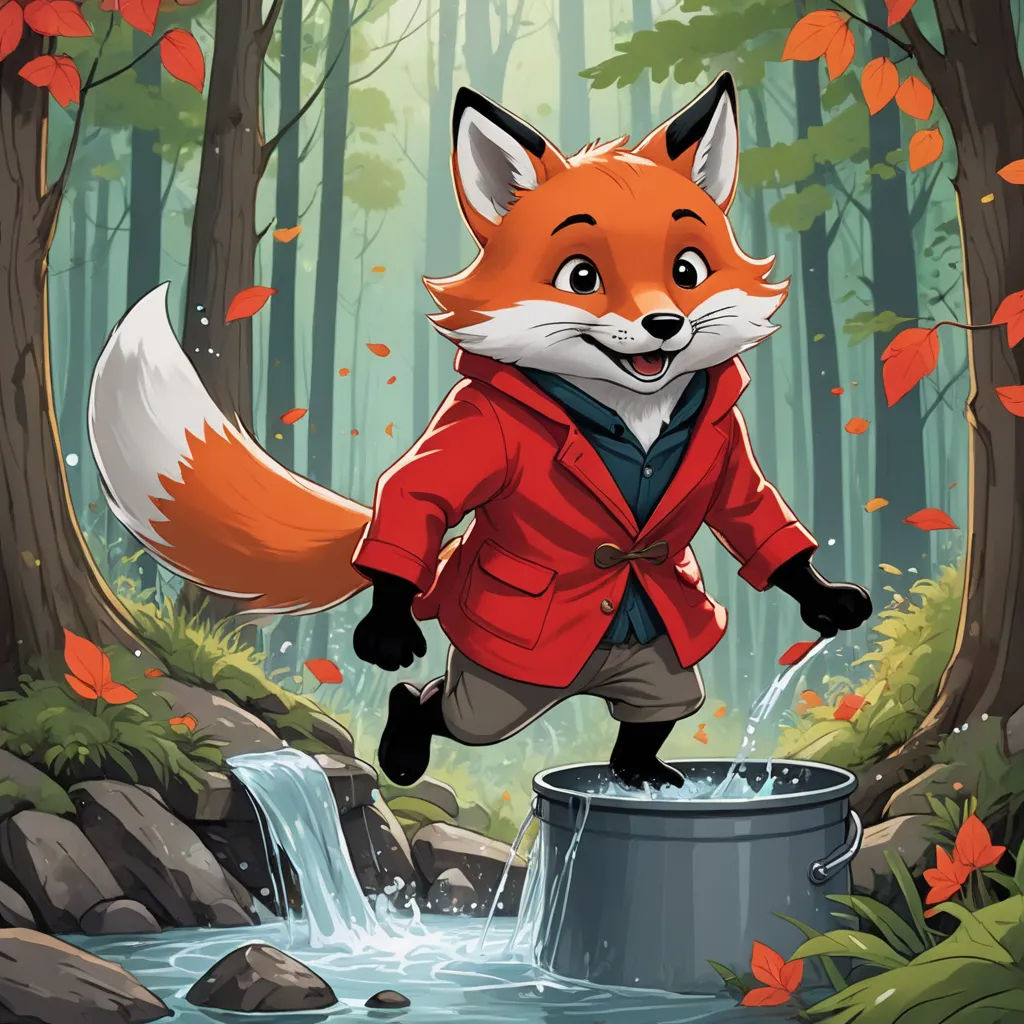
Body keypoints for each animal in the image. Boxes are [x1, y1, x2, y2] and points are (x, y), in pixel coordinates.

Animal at [89, 73, 872, 791]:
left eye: (687, 270)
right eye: (581, 276)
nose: (663, 324)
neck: (633, 410)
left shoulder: (724, 441)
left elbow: (751, 515)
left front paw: (826, 599)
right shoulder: (477, 428)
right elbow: (420, 494)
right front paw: (388, 630)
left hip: (652, 652)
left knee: (655, 706)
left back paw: (637, 768)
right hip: (502, 682)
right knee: (454, 708)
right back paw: (405, 733)